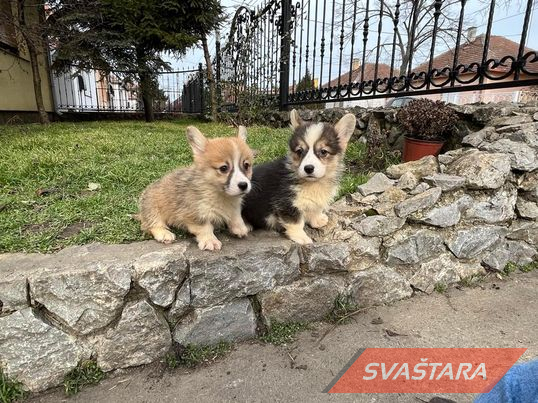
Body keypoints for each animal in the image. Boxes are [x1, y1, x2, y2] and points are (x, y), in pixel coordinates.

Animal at [241, 109, 354, 245]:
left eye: (323, 151)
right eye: (300, 151)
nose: (308, 168)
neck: (313, 183)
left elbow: (315, 209)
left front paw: (318, 220)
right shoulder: (287, 203)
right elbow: (296, 222)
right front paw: (302, 237)